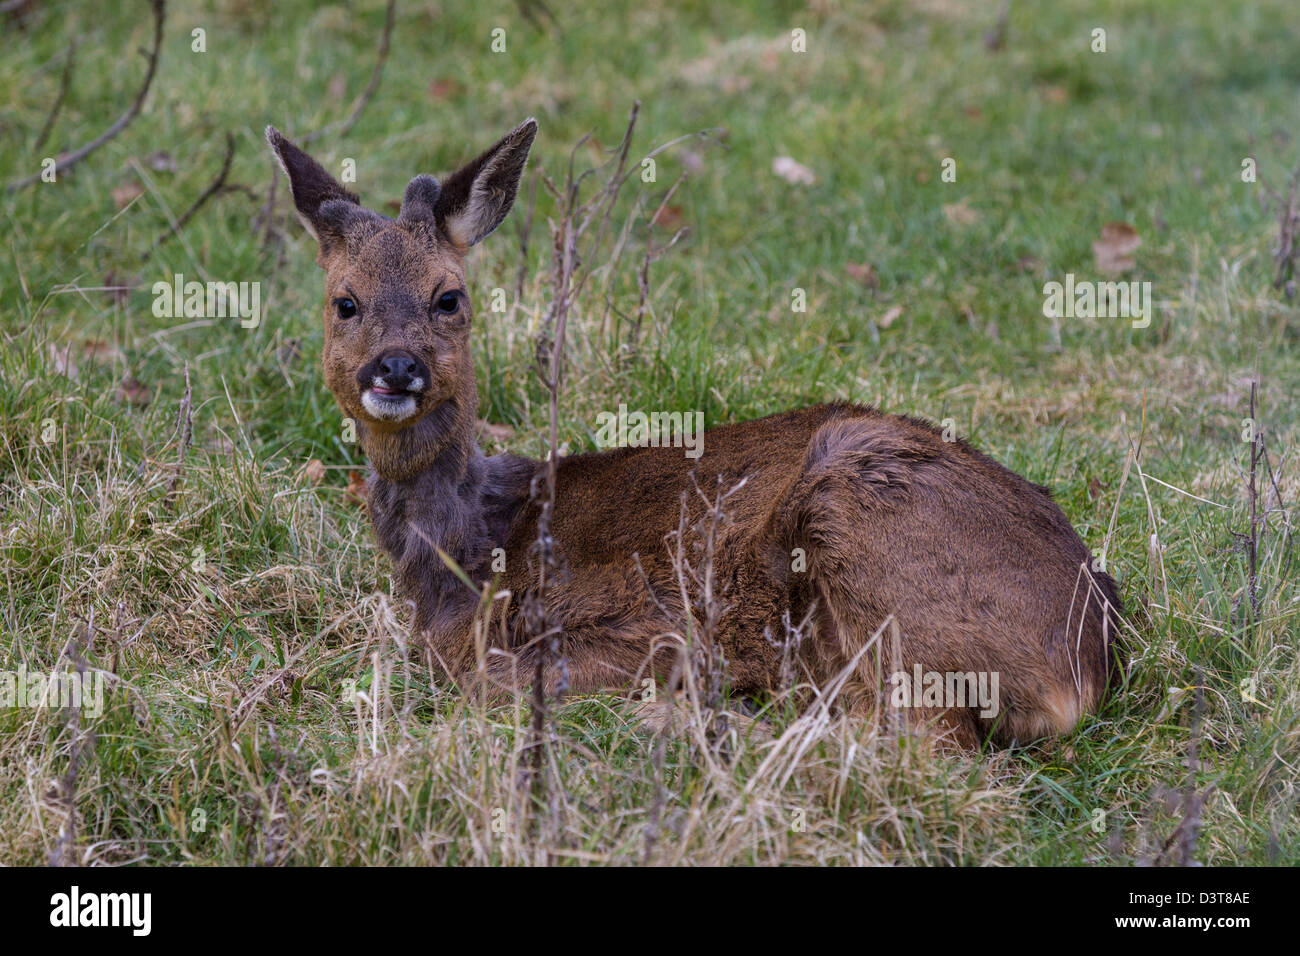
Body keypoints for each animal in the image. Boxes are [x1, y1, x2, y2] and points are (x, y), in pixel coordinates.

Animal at [266, 118, 1122, 748]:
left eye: (449, 297)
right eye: (344, 302)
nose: (397, 367)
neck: (472, 550)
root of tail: (1083, 665)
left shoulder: (624, 622)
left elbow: (503, 682)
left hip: (859, 512)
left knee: (919, 740)